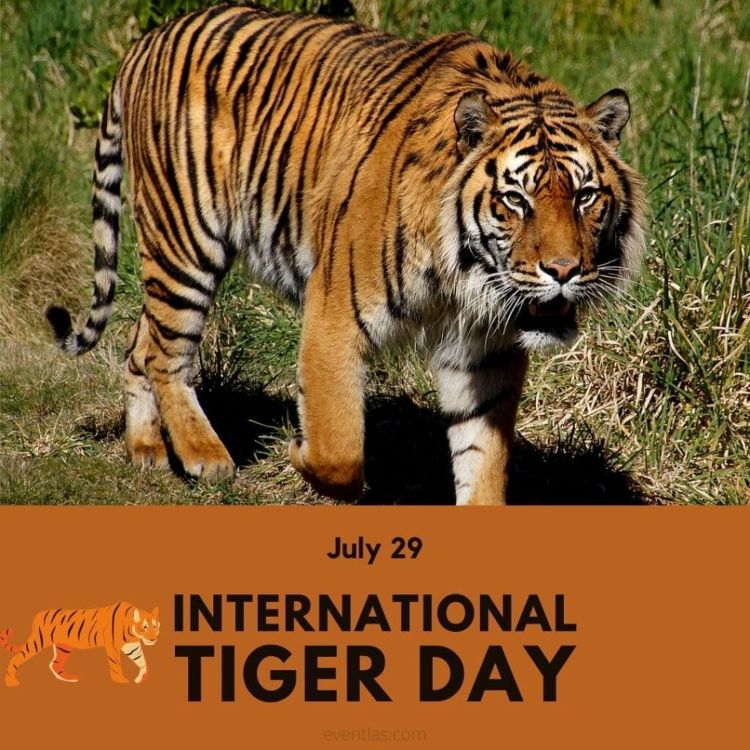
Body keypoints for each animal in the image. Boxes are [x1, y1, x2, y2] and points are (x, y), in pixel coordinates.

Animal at [2, 603, 160, 686]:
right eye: (144, 627)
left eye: (155, 626)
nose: (152, 639)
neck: (132, 631)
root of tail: (38, 615)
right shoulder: (112, 645)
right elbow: (115, 664)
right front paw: (120, 680)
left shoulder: (131, 645)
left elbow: (141, 659)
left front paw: (142, 676)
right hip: (37, 642)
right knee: (17, 657)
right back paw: (10, 681)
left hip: (63, 648)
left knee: (55, 664)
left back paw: (70, 678)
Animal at [46, 3, 646, 505]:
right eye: (516, 200)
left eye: (585, 196)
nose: (564, 271)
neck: (466, 277)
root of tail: (146, 42)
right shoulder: (334, 313)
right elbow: (340, 450)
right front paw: (297, 452)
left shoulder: (485, 351)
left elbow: (484, 461)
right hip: (186, 240)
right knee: (166, 355)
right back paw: (205, 457)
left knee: (140, 342)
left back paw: (146, 450)